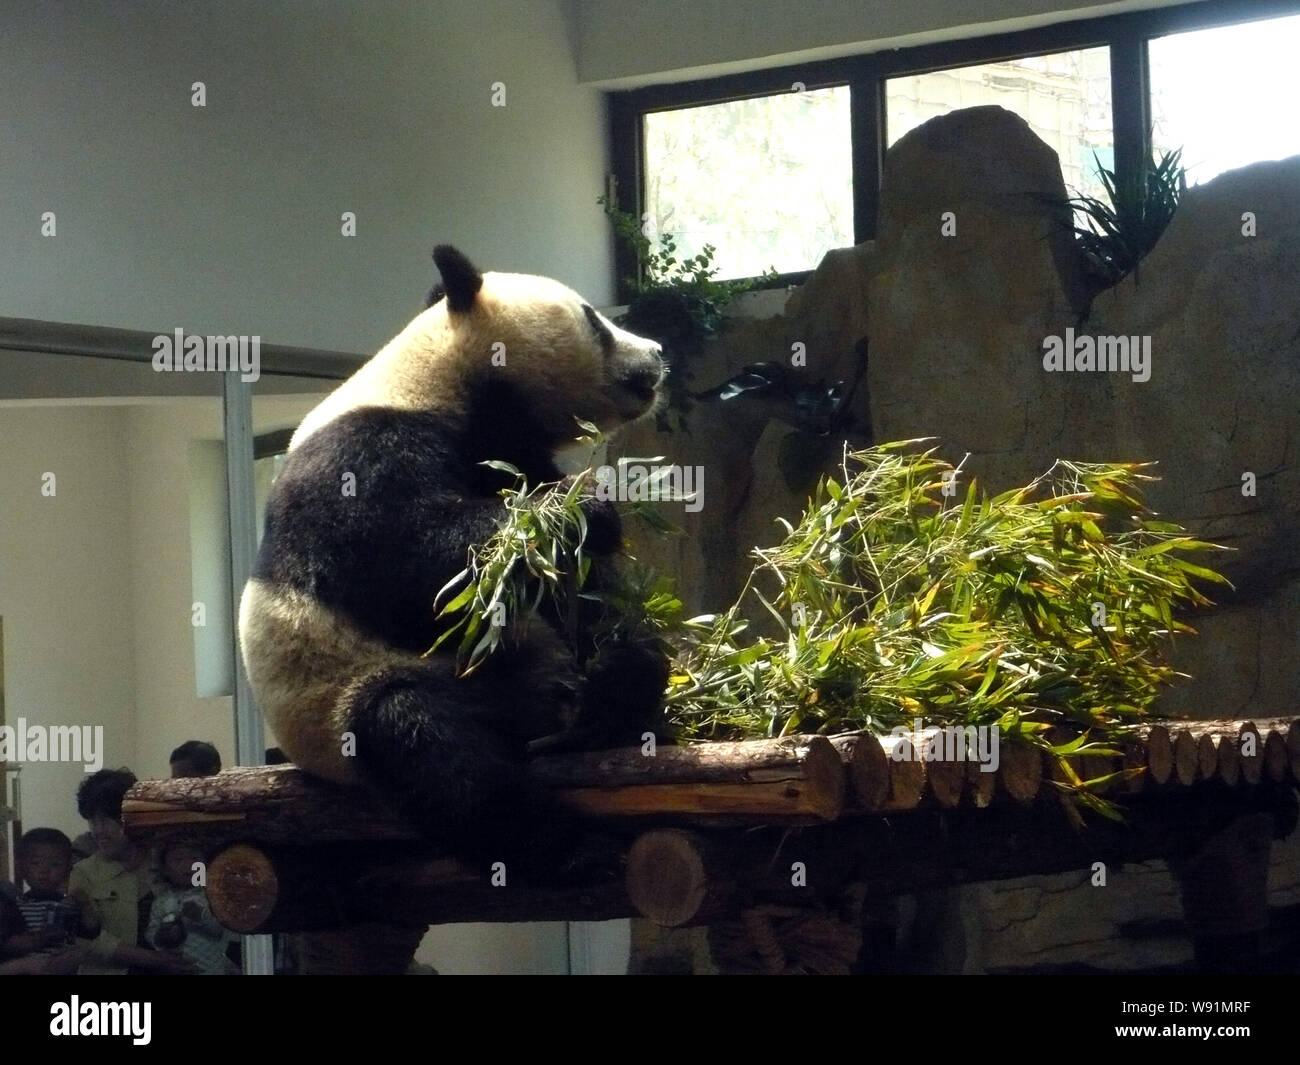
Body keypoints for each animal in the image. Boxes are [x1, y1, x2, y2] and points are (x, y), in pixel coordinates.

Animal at [237, 245, 669, 879]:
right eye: (594, 319)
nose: (657, 352)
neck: (440, 381)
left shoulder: (507, 451)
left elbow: (573, 591)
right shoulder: (363, 451)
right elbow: (413, 561)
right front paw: (584, 509)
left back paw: (605, 704)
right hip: (341, 698)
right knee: (424, 741)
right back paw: (569, 845)